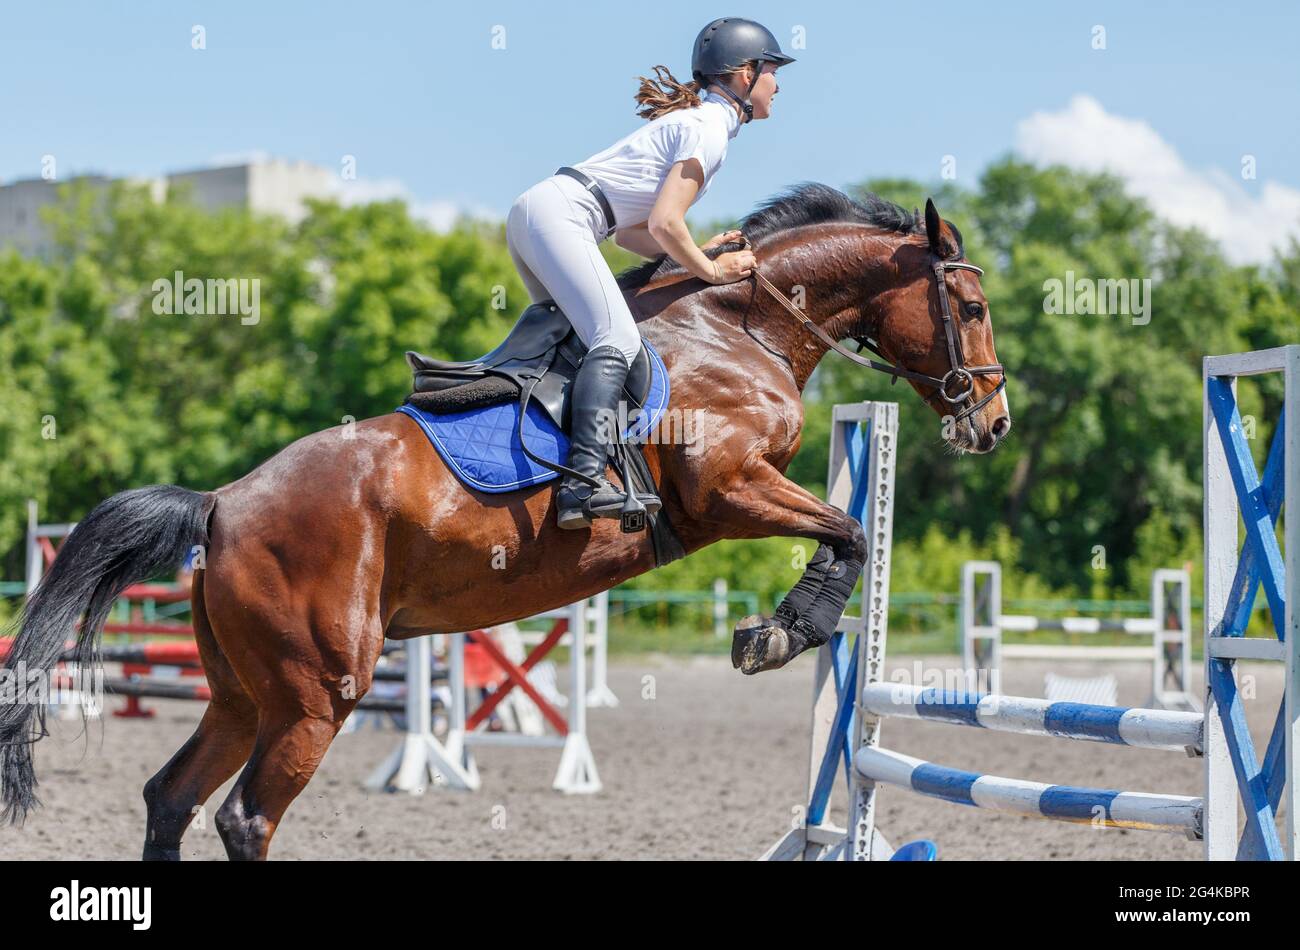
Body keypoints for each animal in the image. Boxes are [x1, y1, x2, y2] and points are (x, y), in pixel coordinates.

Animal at [0, 184, 1009, 859]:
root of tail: (221, 506)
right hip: (315, 693)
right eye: (970, 306)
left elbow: (844, 531)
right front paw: (784, 630)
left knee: (171, 796)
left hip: (245, 694)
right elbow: (848, 532)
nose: (992, 423)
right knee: (245, 817)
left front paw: (782, 627)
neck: (737, 328)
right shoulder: (728, 491)